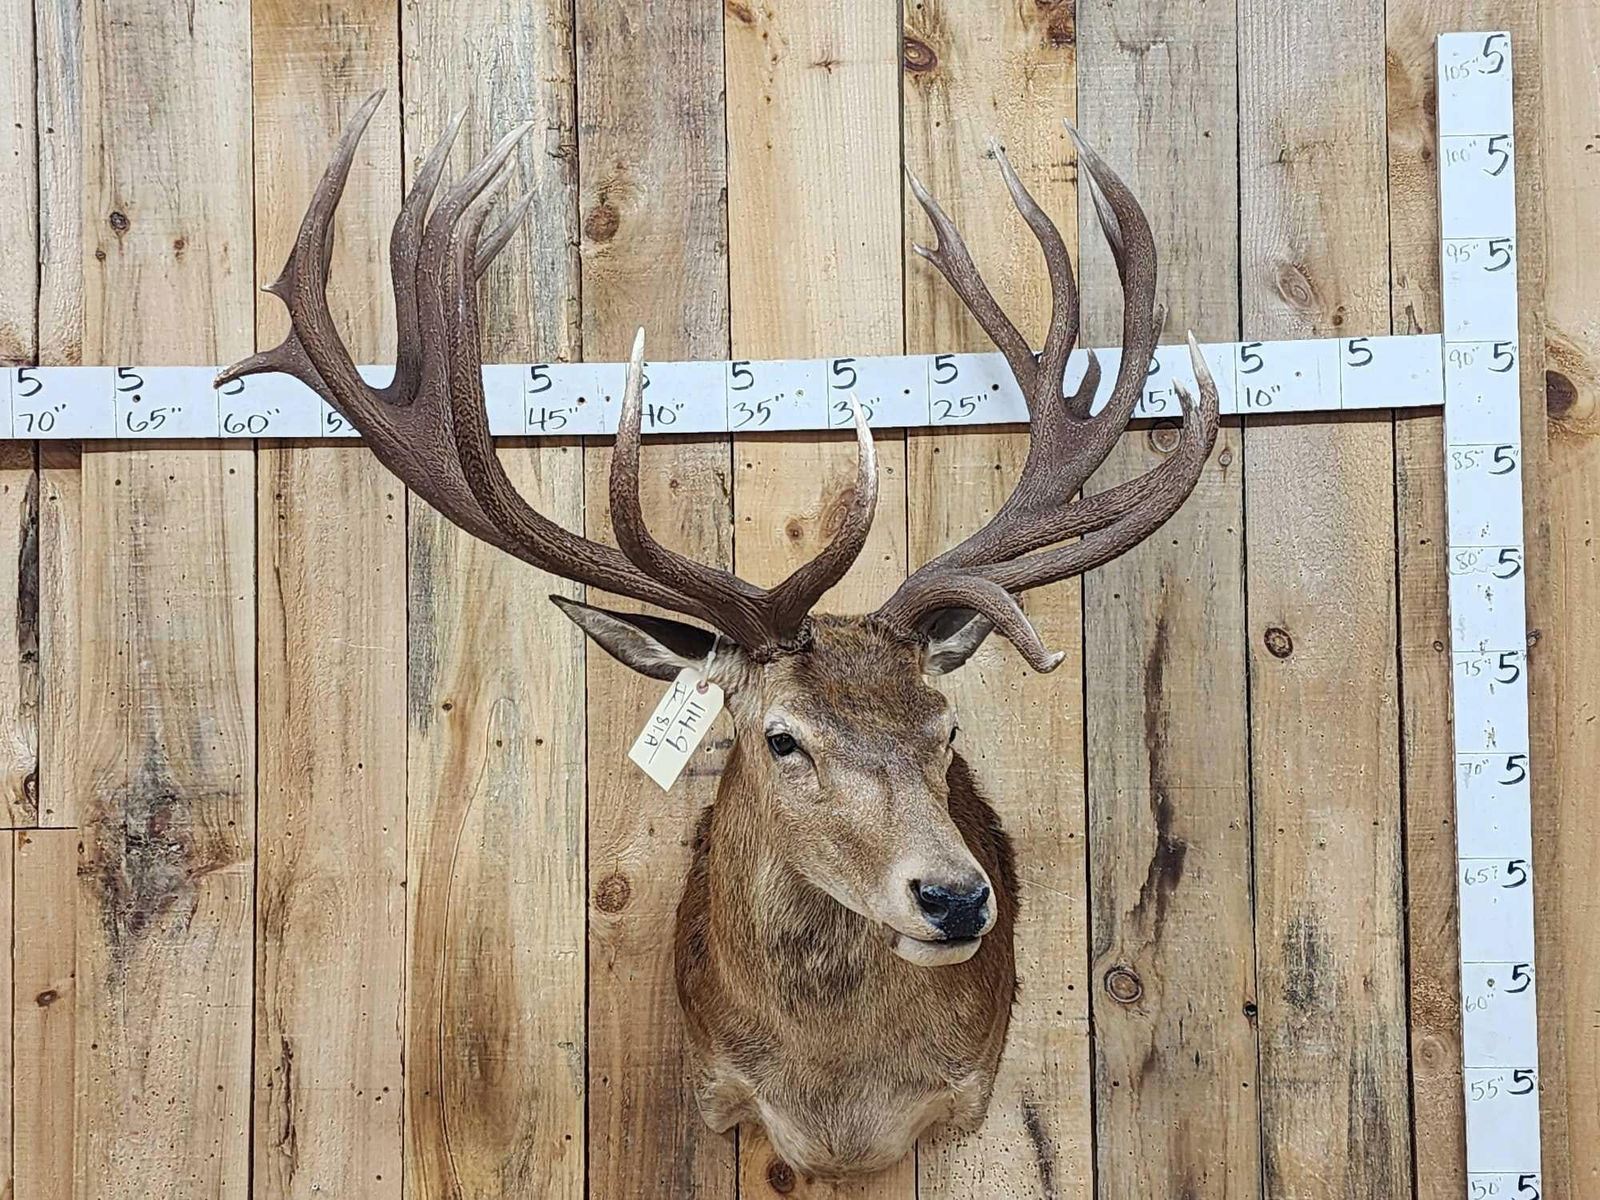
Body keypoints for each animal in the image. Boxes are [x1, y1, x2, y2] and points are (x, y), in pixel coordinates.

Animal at [218, 92, 1218, 1182]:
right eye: (781, 739)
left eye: (946, 730)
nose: (957, 899)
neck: (836, 1111)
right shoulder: (713, 1088)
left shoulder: (964, 1096)